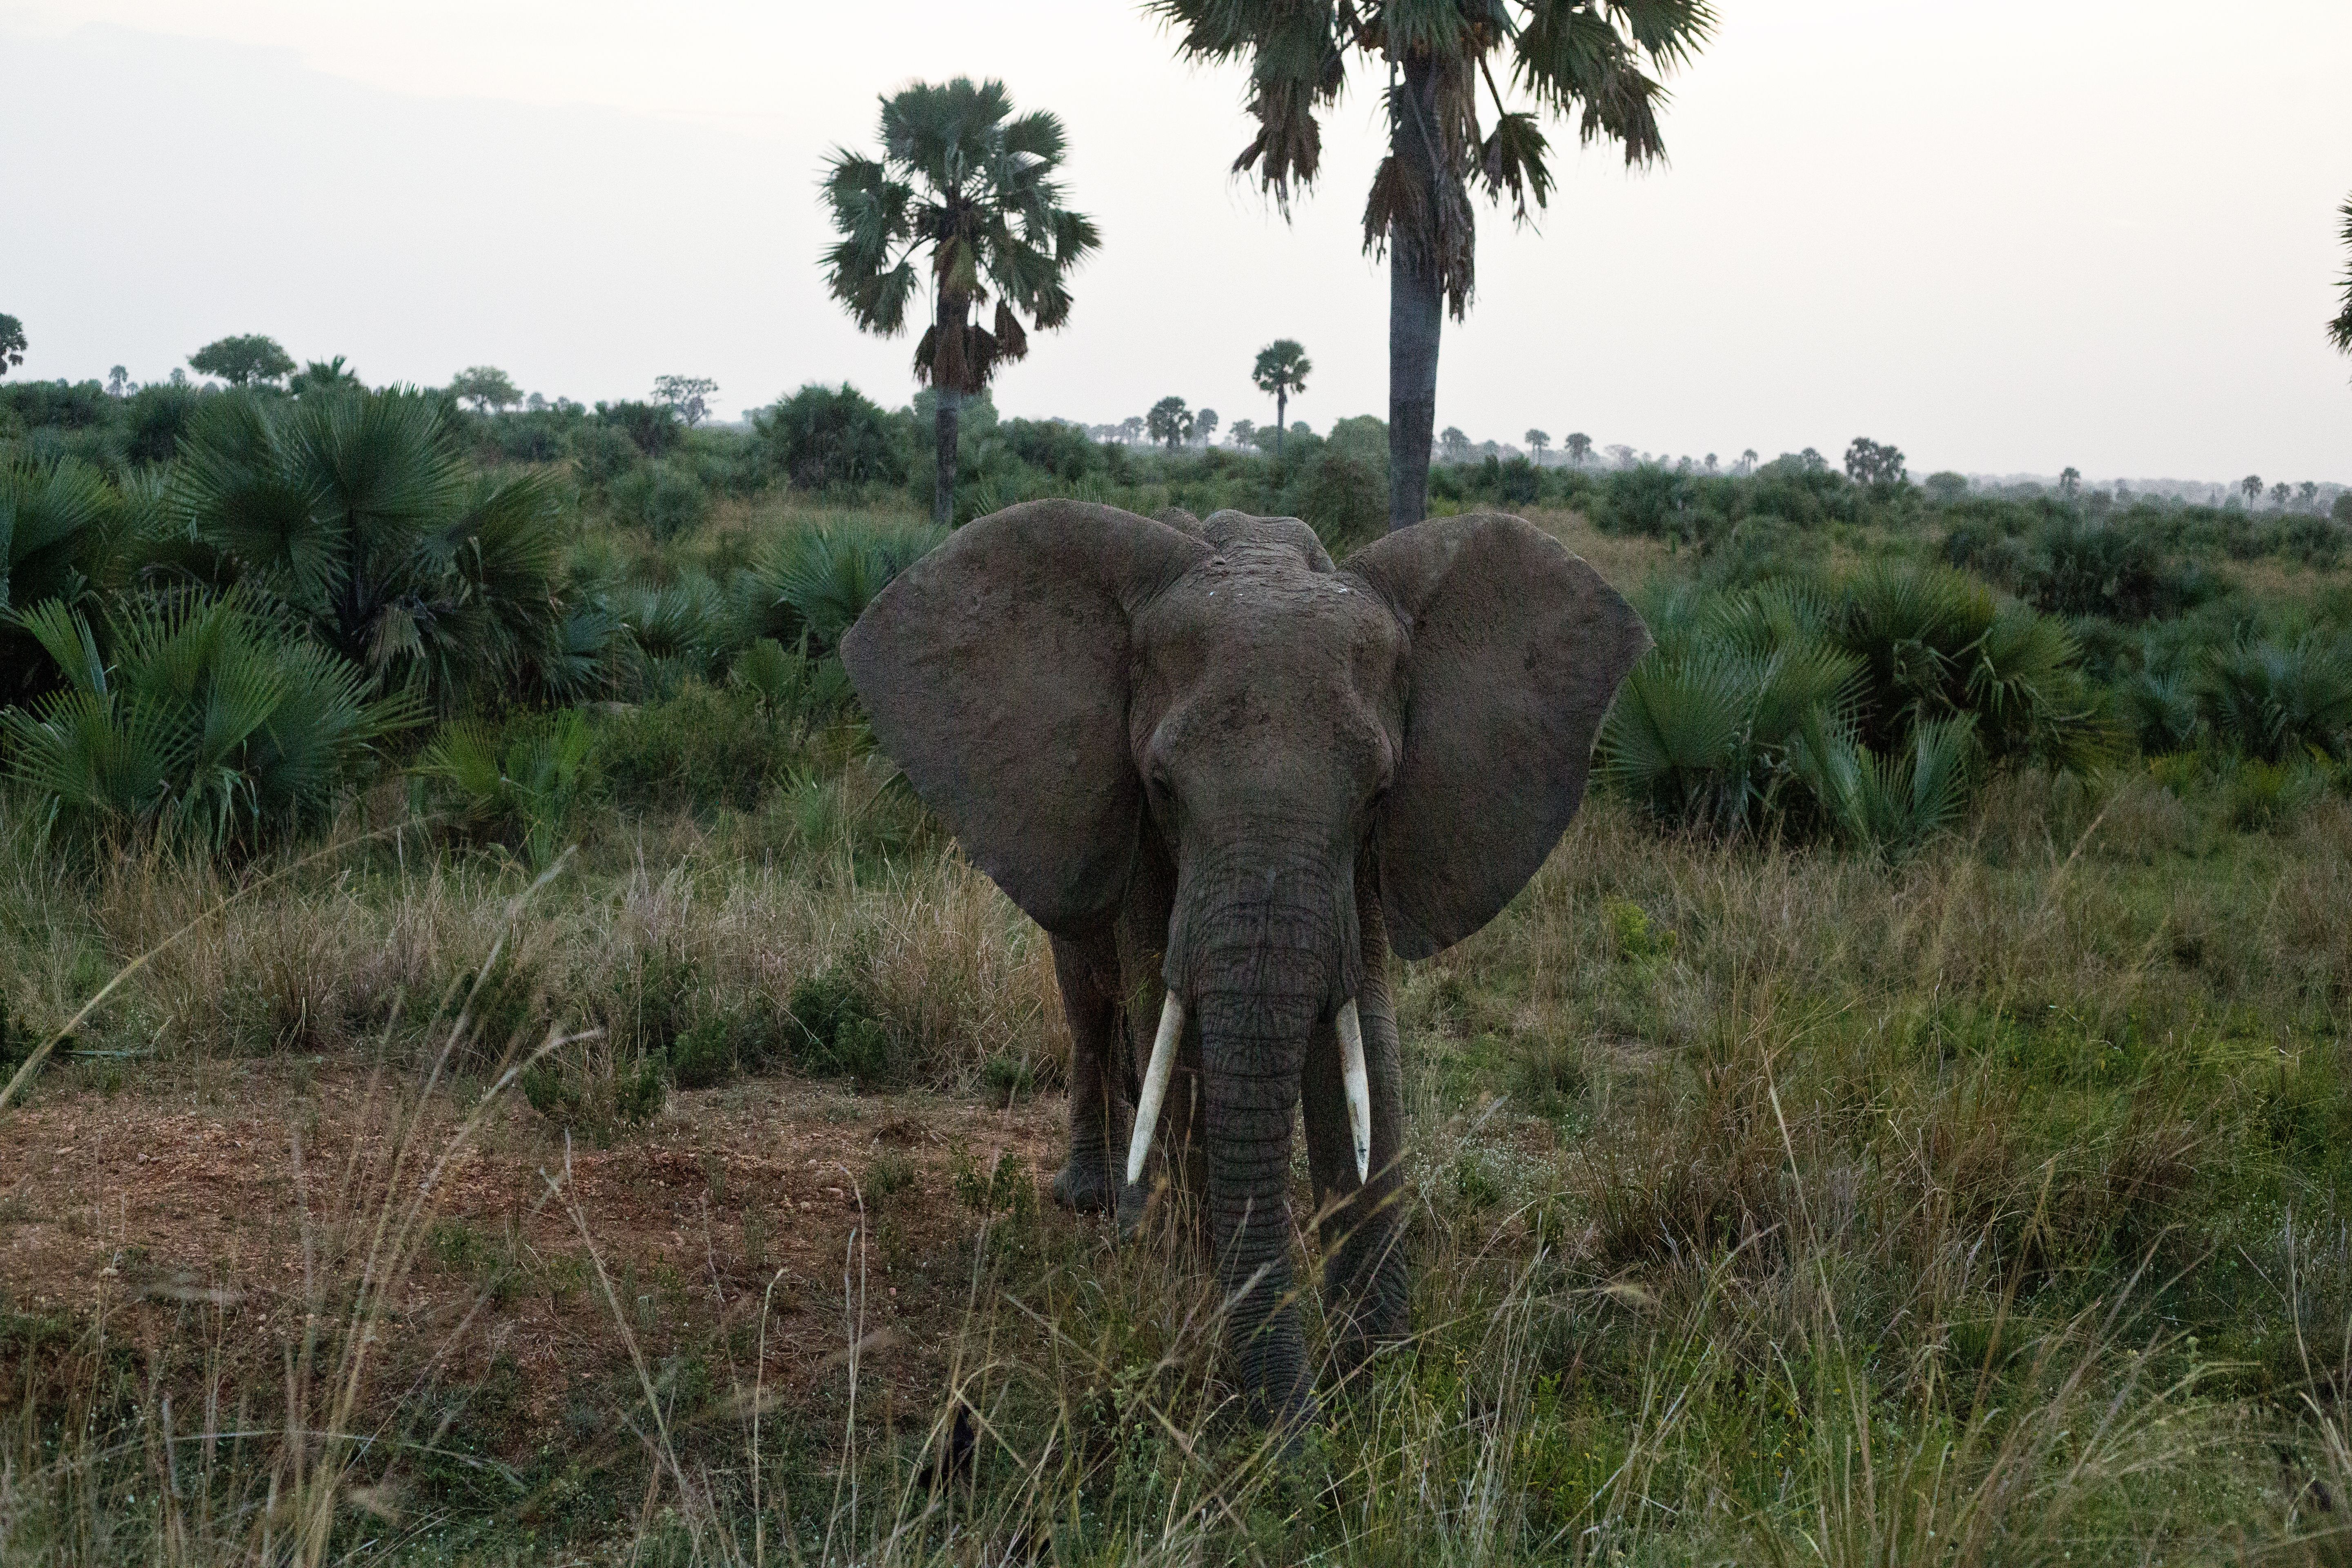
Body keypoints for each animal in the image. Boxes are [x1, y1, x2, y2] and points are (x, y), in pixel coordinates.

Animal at [840, 501, 1645, 1426]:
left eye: (1379, 792)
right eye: (1162, 786)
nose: (1303, 1429)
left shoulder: (1369, 860)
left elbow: (1366, 1043)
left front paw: (1374, 1381)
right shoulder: (1140, 838)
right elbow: (1173, 1027)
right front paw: (1208, 1325)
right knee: (1091, 1009)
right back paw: (1105, 1206)